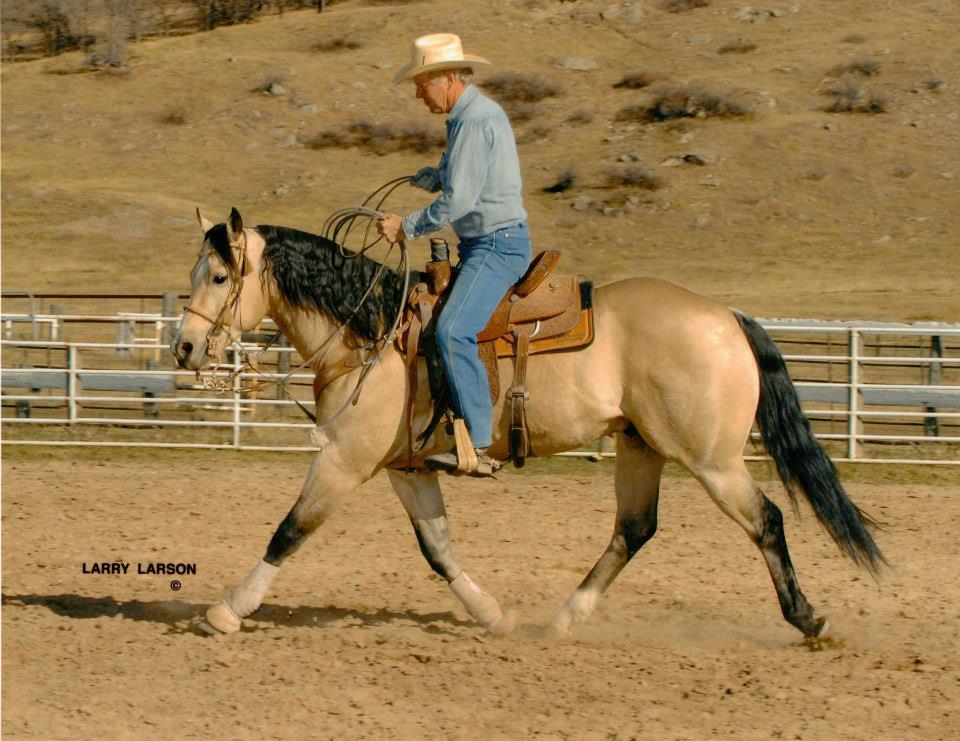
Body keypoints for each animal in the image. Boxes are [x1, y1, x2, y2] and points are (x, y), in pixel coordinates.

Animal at [172, 207, 884, 640]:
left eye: (219, 275)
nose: (183, 348)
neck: (371, 330)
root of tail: (727, 317)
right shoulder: (403, 467)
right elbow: (438, 549)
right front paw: (493, 615)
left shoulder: (345, 460)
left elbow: (290, 530)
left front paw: (226, 611)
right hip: (641, 446)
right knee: (634, 529)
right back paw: (565, 619)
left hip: (711, 459)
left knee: (767, 519)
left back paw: (808, 618)